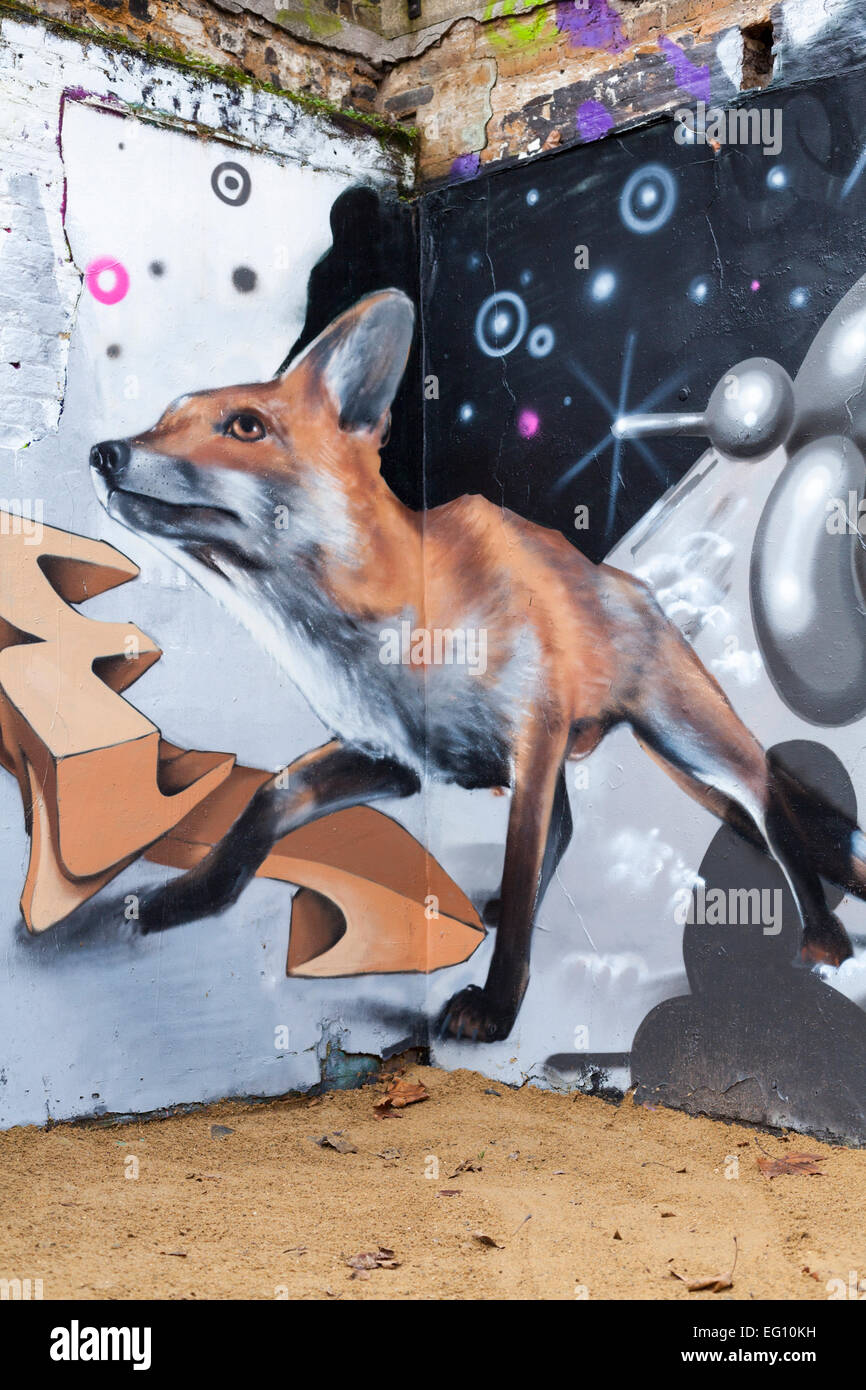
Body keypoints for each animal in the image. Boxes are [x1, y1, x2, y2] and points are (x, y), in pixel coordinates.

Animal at [89, 288, 866, 1043]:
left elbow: (522, 867)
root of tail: (632, 585)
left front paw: (496, 1007)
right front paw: (185, 899)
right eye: (165, 419)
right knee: (574, 828)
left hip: (691, 741)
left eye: (245, 426)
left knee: (770, 808)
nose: (104, 452)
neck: (376, 640)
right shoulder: (396, 760)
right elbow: (269, 800)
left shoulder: (531, 734)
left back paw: (825, 938)